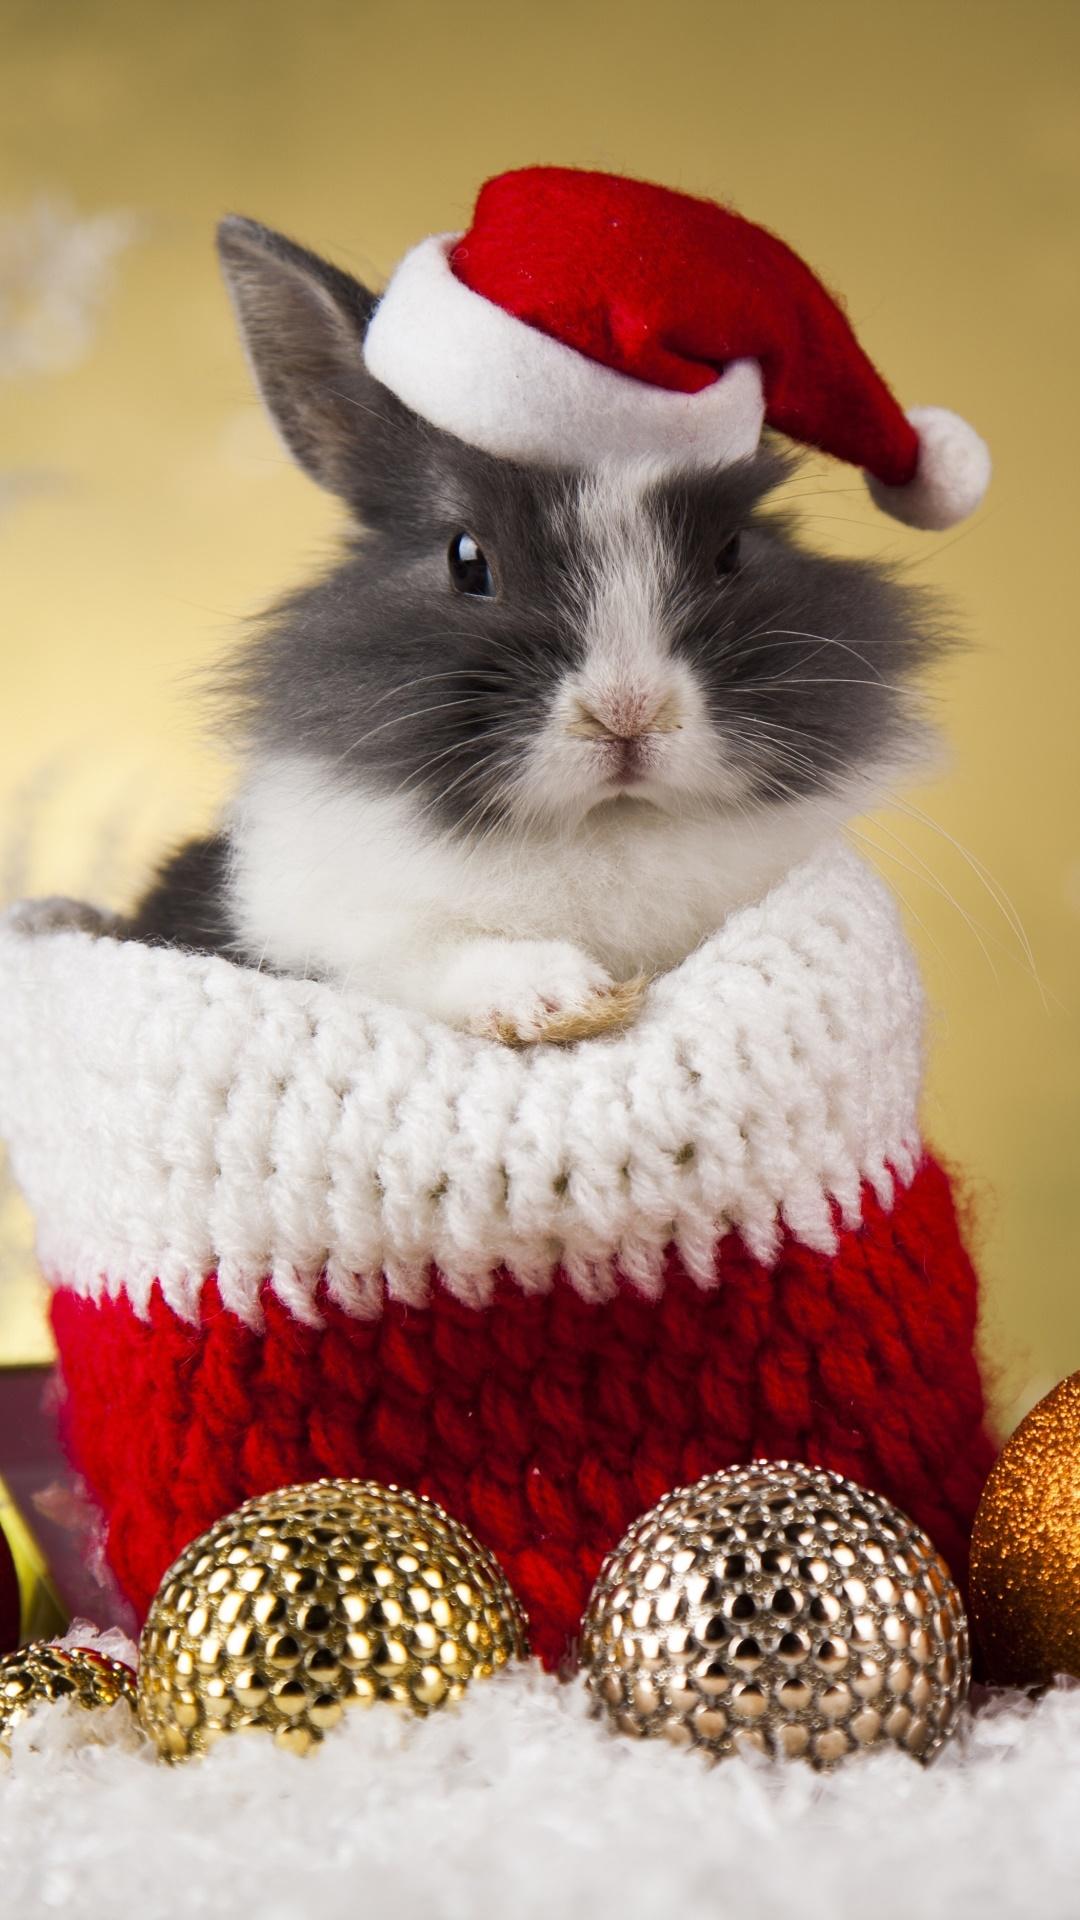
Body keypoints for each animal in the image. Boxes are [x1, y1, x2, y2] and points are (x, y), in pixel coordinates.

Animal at [128, 217, 948, 1044]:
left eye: (732, 551)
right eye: (466, 559)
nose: (627, 712)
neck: (604, 825)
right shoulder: (331, 928)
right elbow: (429, 955)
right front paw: (561, 1000)